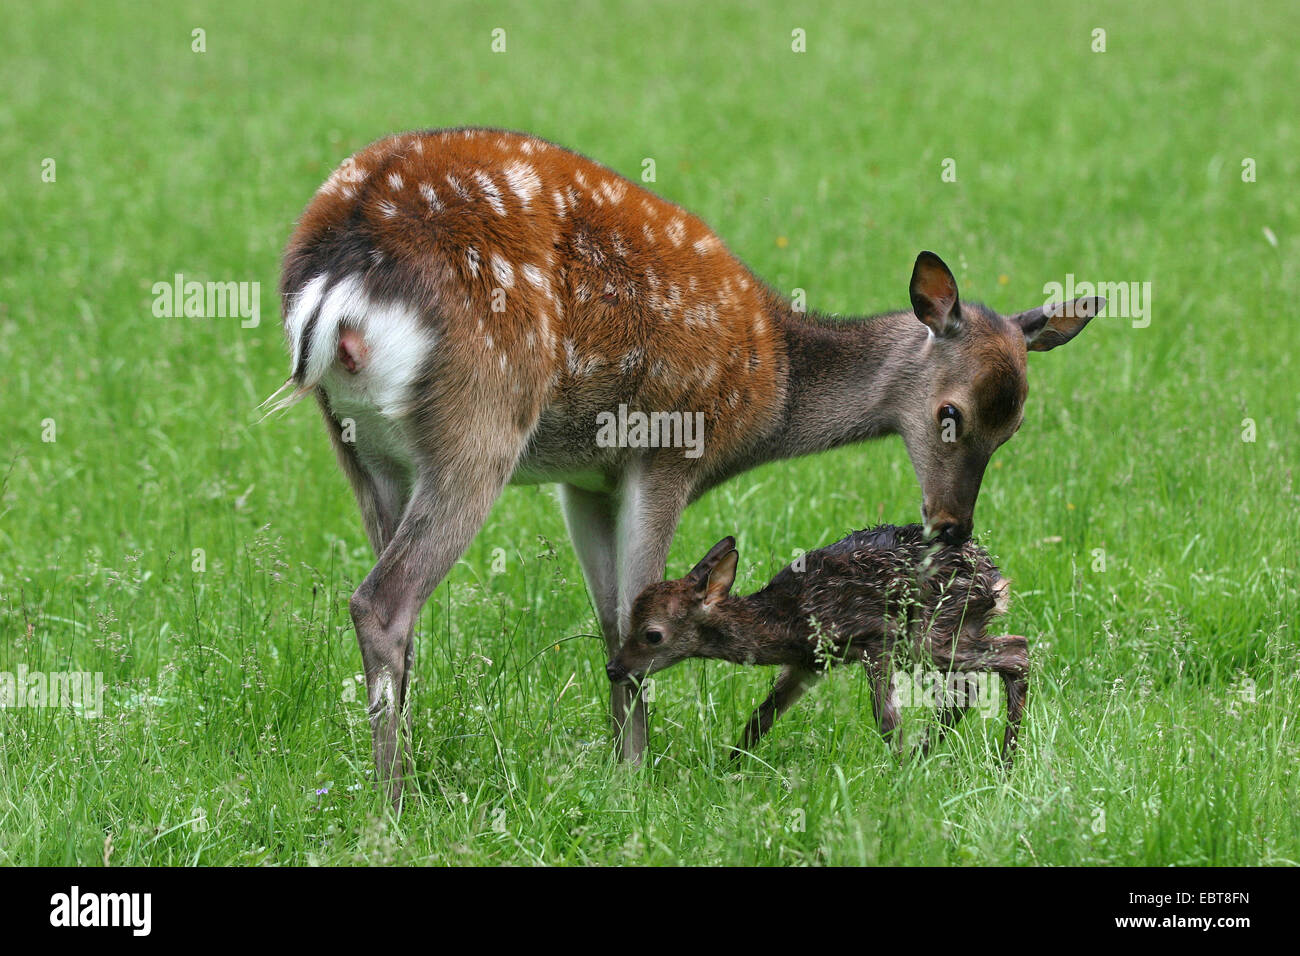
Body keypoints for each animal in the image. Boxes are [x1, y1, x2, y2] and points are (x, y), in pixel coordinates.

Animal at [605, 525, 1030, 766]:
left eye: (652, 634)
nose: (613, 668)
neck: (787, 619)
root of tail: (994, 579)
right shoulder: (809, 663)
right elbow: (760, 718)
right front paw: (729, 768)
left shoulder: (875, 635)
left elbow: (886, 719)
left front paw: (896, 771)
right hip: (947, 634)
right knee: (971, 685)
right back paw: (937, 757)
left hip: (927, 636)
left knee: (1017, 652)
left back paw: (1003, 765)